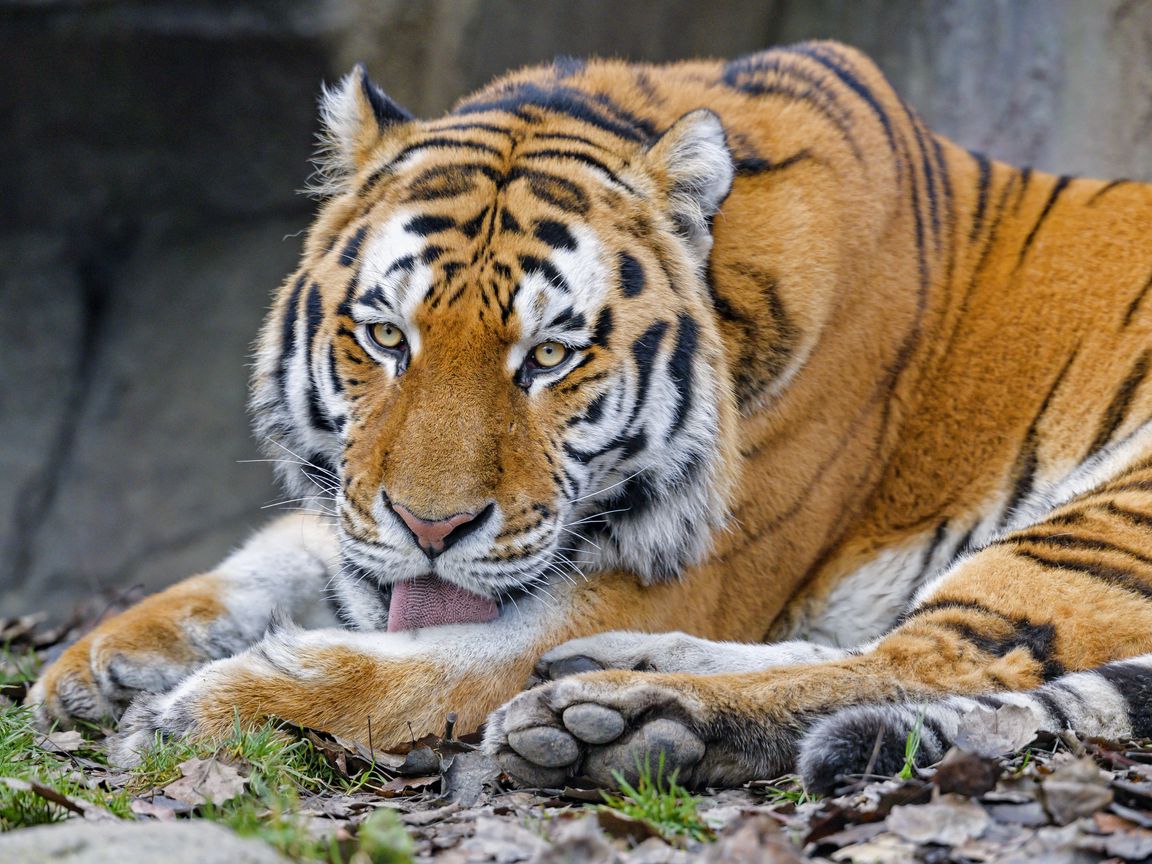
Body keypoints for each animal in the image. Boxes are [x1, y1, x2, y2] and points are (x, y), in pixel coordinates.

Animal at [26, 40, 1152, 795]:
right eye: (387, 337)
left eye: (550, 358)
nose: (432, 528)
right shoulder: (366, 519)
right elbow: (283, 552)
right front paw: (93, 665)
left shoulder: (664, 575)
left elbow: (437, 666)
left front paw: (205, 709)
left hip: (1108, 511)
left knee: (932, 662)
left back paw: (626, 717)